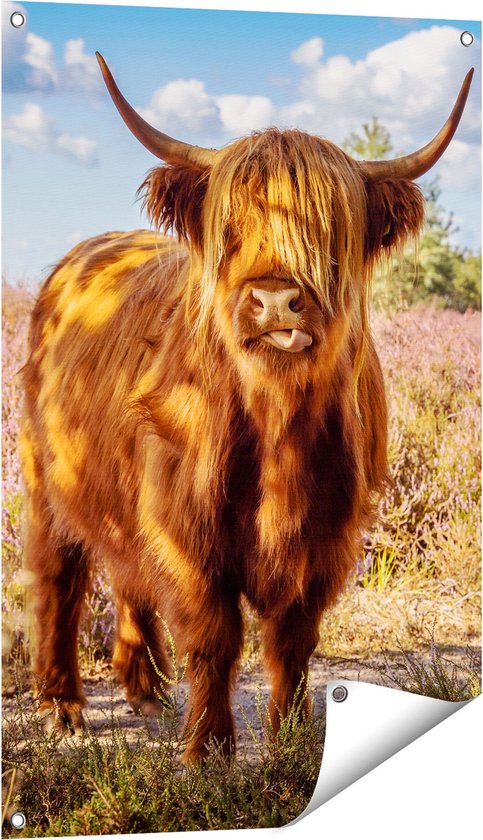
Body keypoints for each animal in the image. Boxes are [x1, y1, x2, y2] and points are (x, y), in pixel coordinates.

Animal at [21, 55, 473, 761]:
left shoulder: (327, 534)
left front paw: (291, 739)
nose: (276, 301)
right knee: (59, 577)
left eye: (328, 232)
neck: (277, 429)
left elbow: (292, 639)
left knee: (127, 573)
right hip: (47, 479)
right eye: (230, 229)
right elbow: (215, 636)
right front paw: (208, 750)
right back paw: (62, 705)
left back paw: (146, 690)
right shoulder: (187, 529)